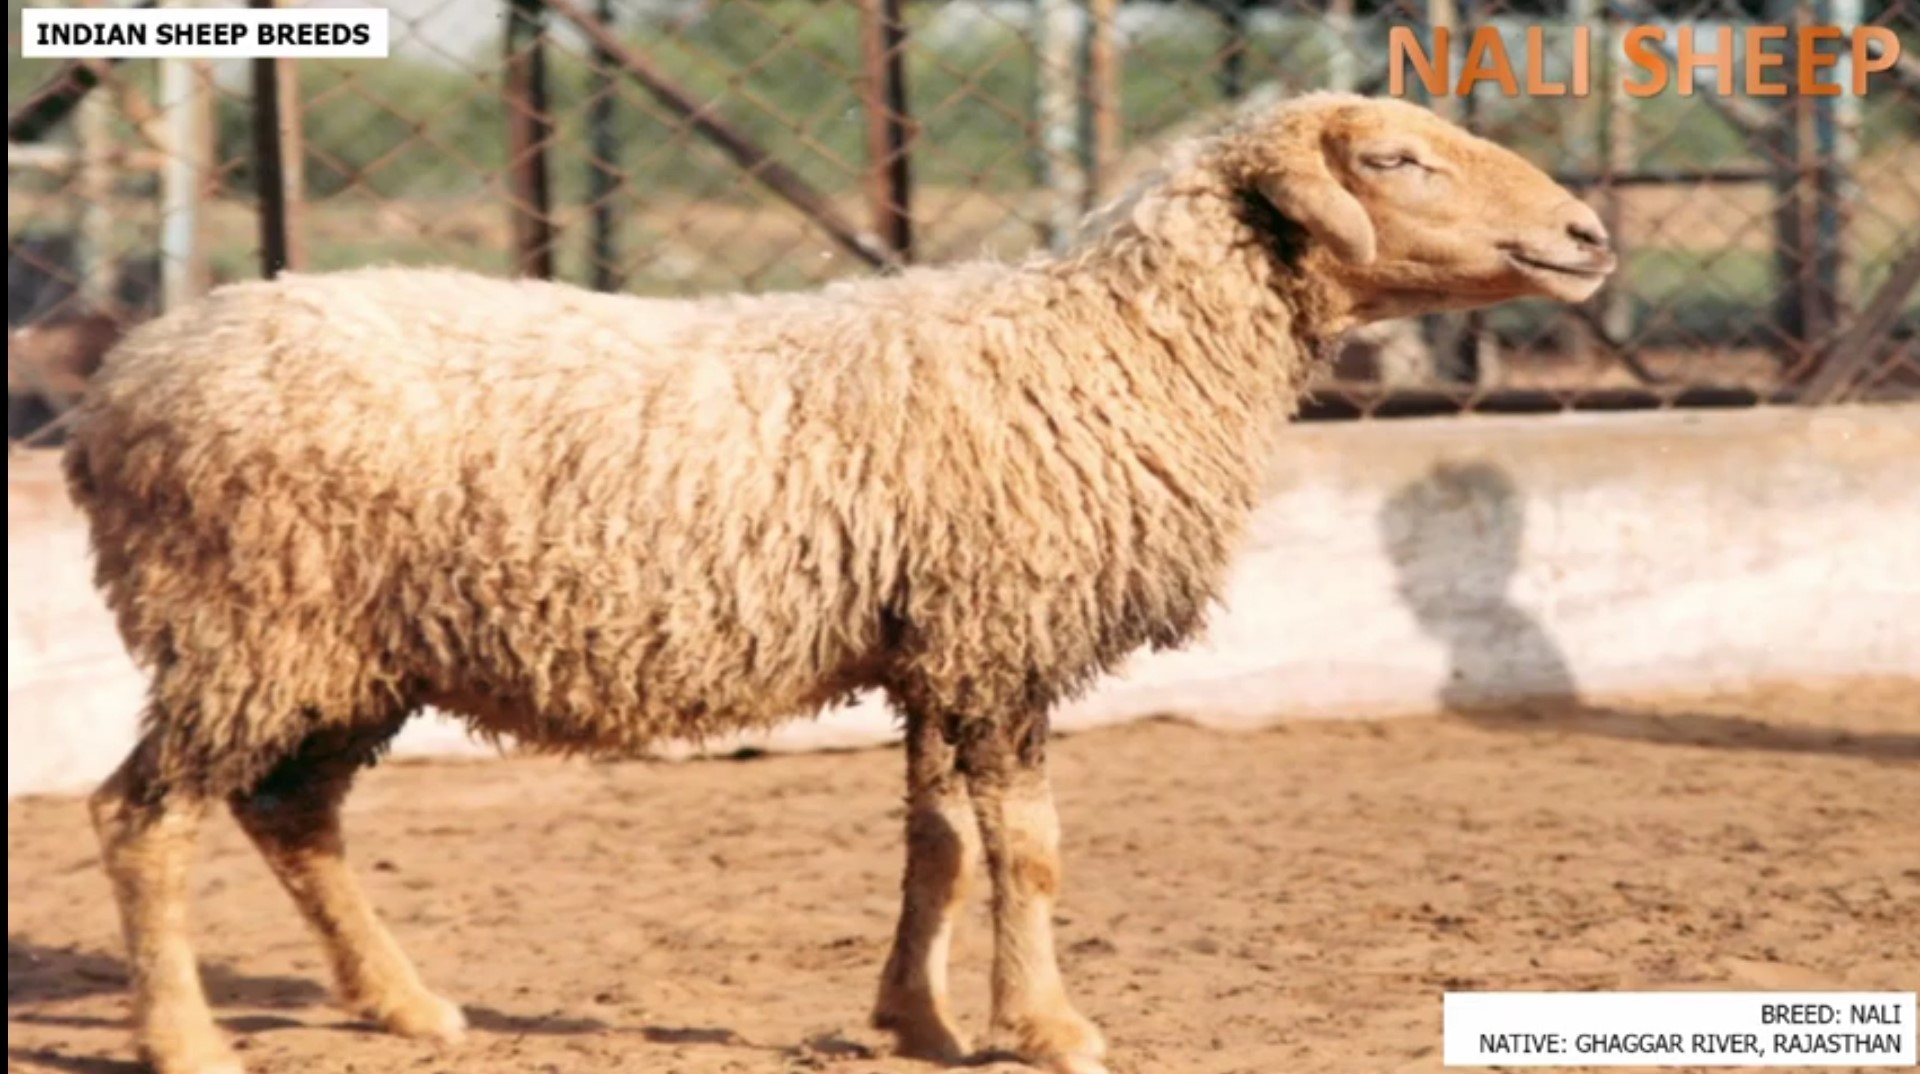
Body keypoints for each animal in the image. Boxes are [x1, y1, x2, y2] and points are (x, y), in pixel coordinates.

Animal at [61, 91, 1615, 1074]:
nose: (1592, 237)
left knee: (290, 814)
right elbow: (1028, 852)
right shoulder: (1002, 630)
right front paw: (1051, 1030)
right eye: (1395, 158)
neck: (1116, 346)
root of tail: (112, 391)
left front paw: (918, 1023)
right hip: (247, 621)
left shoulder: (942, 639)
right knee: (143, 817)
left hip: (343, 651)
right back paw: (188, 1040)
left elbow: (935, 847)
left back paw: (406, 1005)